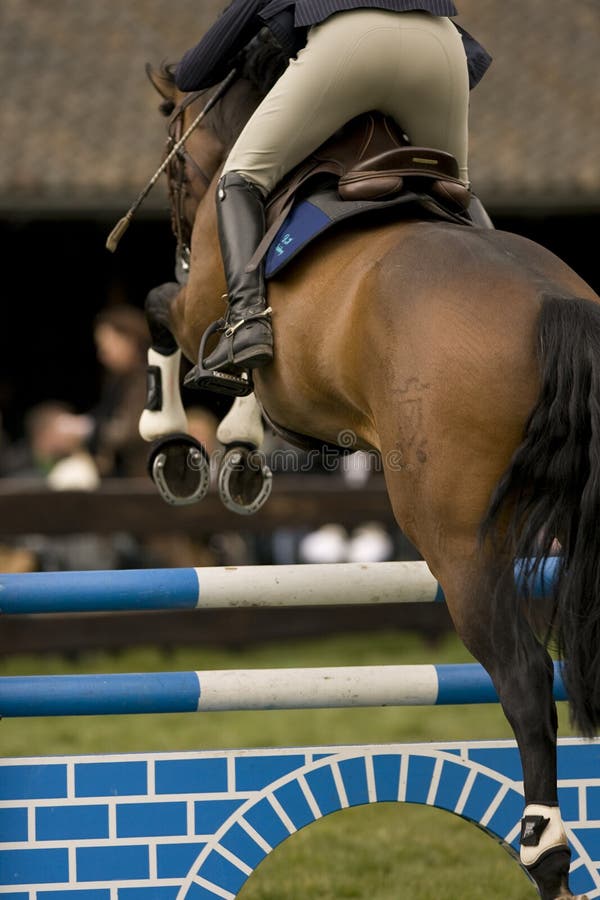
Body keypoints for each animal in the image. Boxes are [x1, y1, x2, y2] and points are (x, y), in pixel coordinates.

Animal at [136, 32, 600, 900]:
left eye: (175, 160)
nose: (179, 236)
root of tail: (558, 307)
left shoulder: (202, 301)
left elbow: (160, 313)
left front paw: (182, 446)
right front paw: (238, 452)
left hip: (457, 542)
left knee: (524, 679)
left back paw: (545, 851)